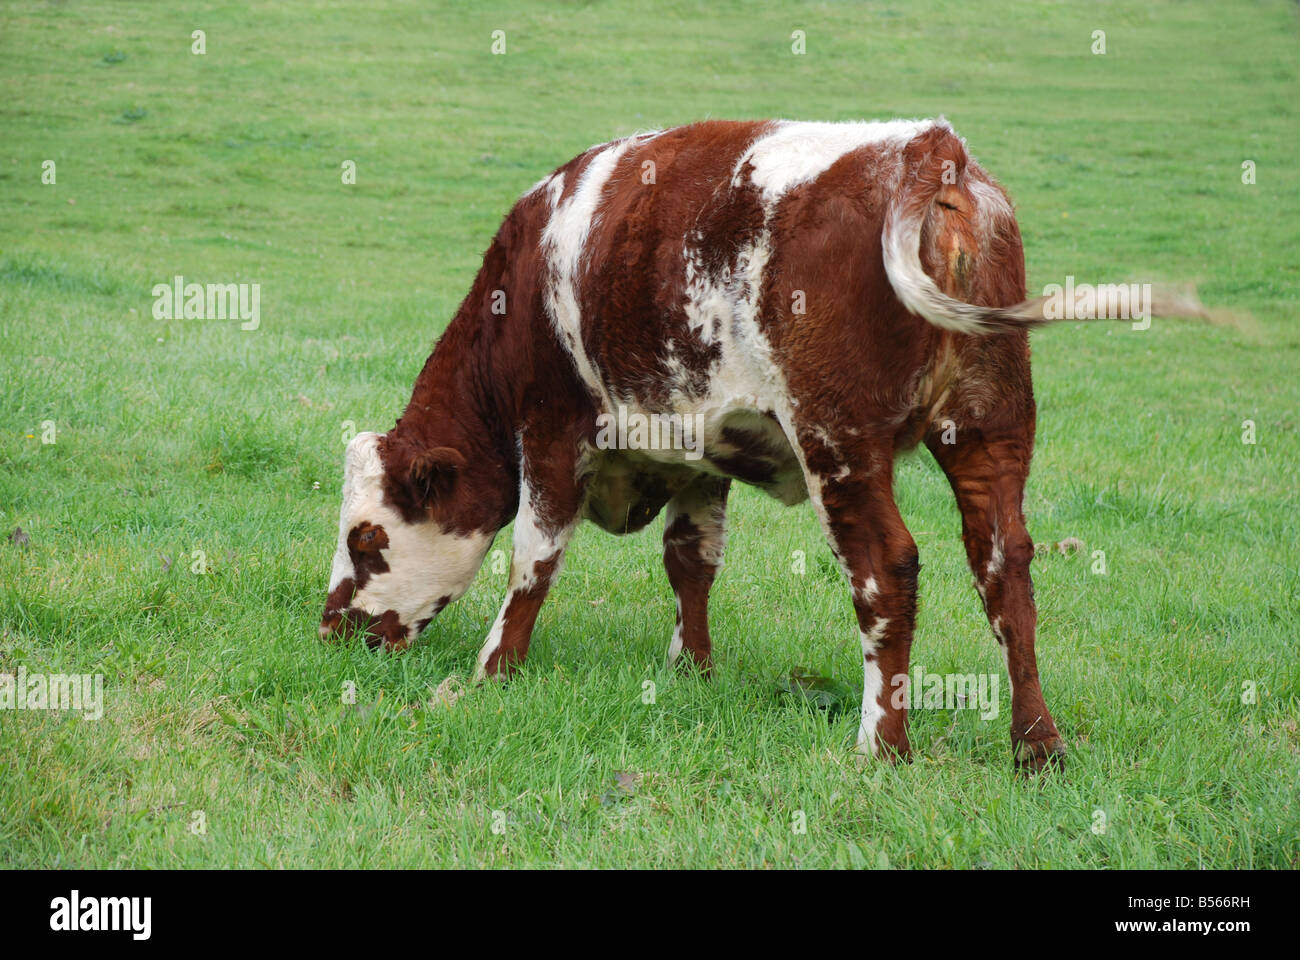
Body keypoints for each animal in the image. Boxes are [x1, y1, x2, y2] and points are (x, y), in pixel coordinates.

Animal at [320, 118, 1201, 772]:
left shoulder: (552, 429)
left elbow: (533, 560)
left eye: (365, 539)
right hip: (992, 428)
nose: (332, 631)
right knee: (1005, 568)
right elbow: (691, 559)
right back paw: (1037, 745)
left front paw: (494, 669)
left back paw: (880, 746)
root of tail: (927, 148)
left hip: (839, 439)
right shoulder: (696, 449)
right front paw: (692, 670)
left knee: (888, 568)